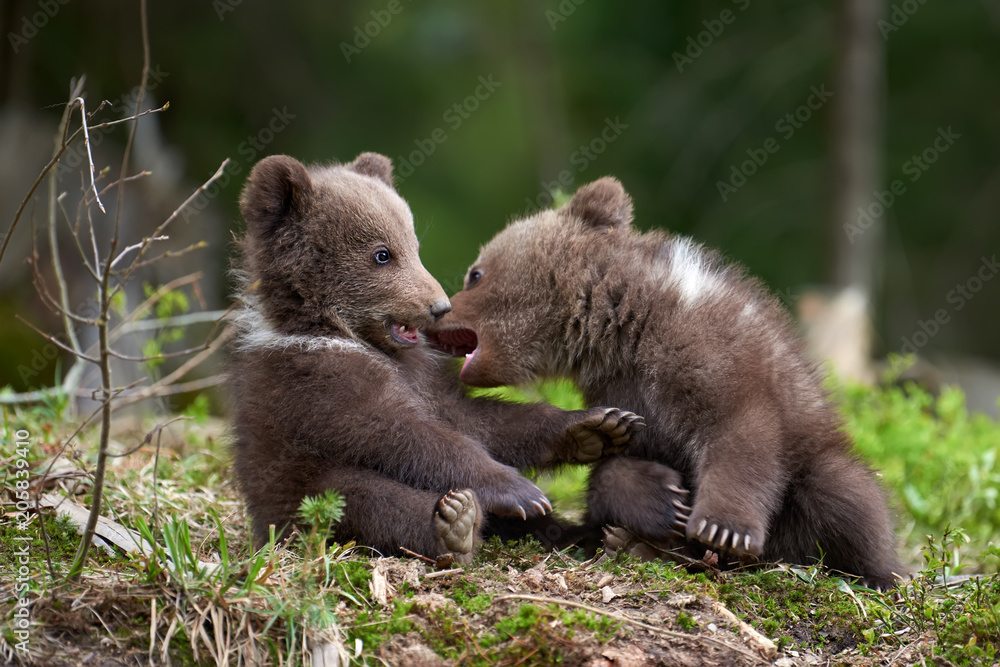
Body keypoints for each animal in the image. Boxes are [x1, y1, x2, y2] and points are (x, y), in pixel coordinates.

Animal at [227, 153, 644, 563]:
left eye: (415, 247)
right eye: (382, 254)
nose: (439, 306)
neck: (343, 334)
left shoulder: (426, 380)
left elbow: (477, 420)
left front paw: (594, 427)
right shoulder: (317, 380)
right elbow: (402, 432)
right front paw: (519, 490)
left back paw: (594, 534)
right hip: (302, 491)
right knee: (366, 500)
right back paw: (454, 524)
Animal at [425, 176, 902, 589]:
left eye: (475, 273)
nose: (440, 312)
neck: (619, 326)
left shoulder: (717, 359)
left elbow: (740, 431)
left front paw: (723, 525)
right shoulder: (624, 389)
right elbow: (621, 457)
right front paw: (661, 498)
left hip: (814, 468)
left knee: (844, 495)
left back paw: (875, 572)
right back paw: (636, 543)